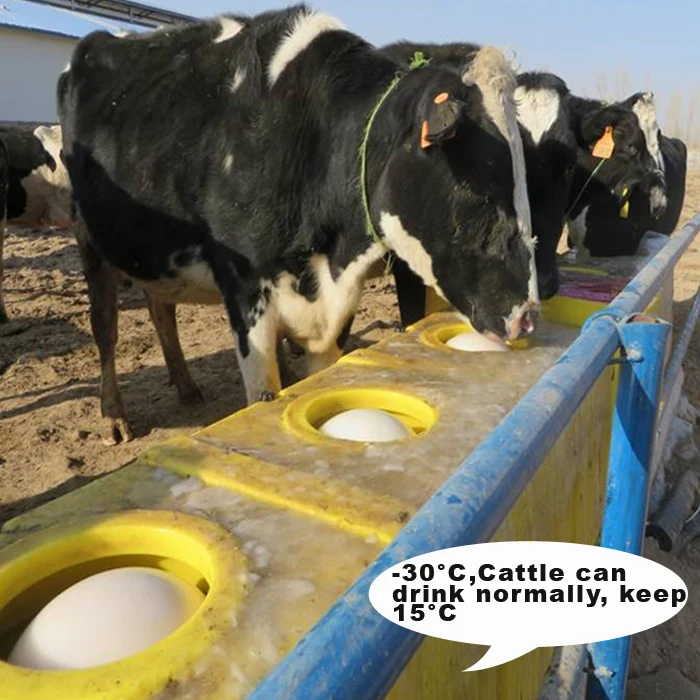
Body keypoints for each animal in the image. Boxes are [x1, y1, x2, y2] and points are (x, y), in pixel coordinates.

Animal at [58, 5, 539, 444]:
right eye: (483, 190)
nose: (528, 318)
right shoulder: (244, 286)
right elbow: (262, 391)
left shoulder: (337, 297)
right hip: (89, 238)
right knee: (105, 325)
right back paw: (114, 416)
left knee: (161, 307)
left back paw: (186, 385)